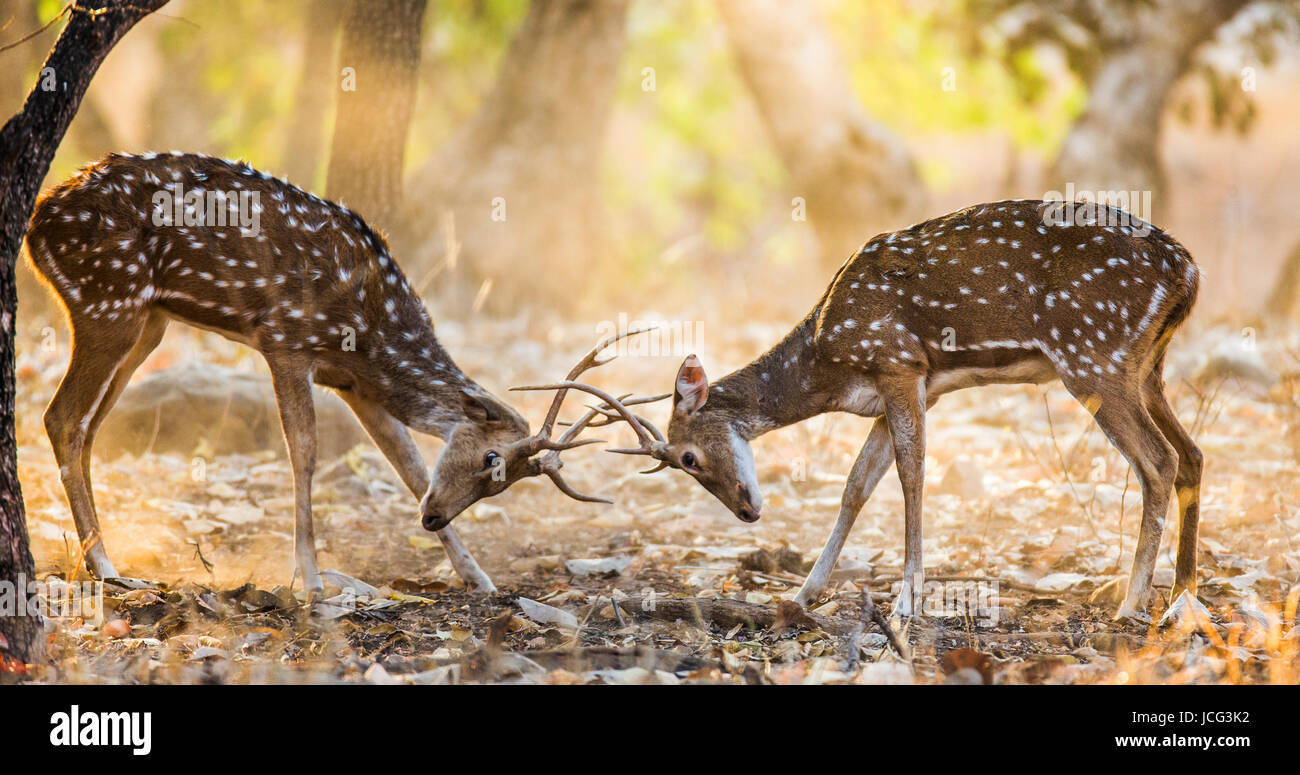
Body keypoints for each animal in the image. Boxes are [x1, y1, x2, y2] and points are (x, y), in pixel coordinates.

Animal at [24, 151, 637, 599]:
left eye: (503, 484)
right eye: (492, 460)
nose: (433, 518)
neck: (374, 334)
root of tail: (35, 225)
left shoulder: (356, 384)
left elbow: (409, 466)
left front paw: (478, 578)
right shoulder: (285, 341)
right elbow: (305, 452)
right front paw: (311, 577)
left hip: (148, 321)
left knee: (87, 426)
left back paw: (102, 556)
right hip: (109, 299)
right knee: (61, 417)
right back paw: (106, 565)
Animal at [538, 200, 1203, 624]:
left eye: (688, 456)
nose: (748, 512)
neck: (828, 359)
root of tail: (1188, 271)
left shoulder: (899, 363)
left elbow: (911, 475)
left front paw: (907, 601)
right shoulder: (902, 391)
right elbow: (856, 484)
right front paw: (805, 593)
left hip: (1092, 354)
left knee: (1158, 461)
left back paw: (1131, 603)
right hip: (1146, 365)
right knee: (1192, 454)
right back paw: (1181, 599)